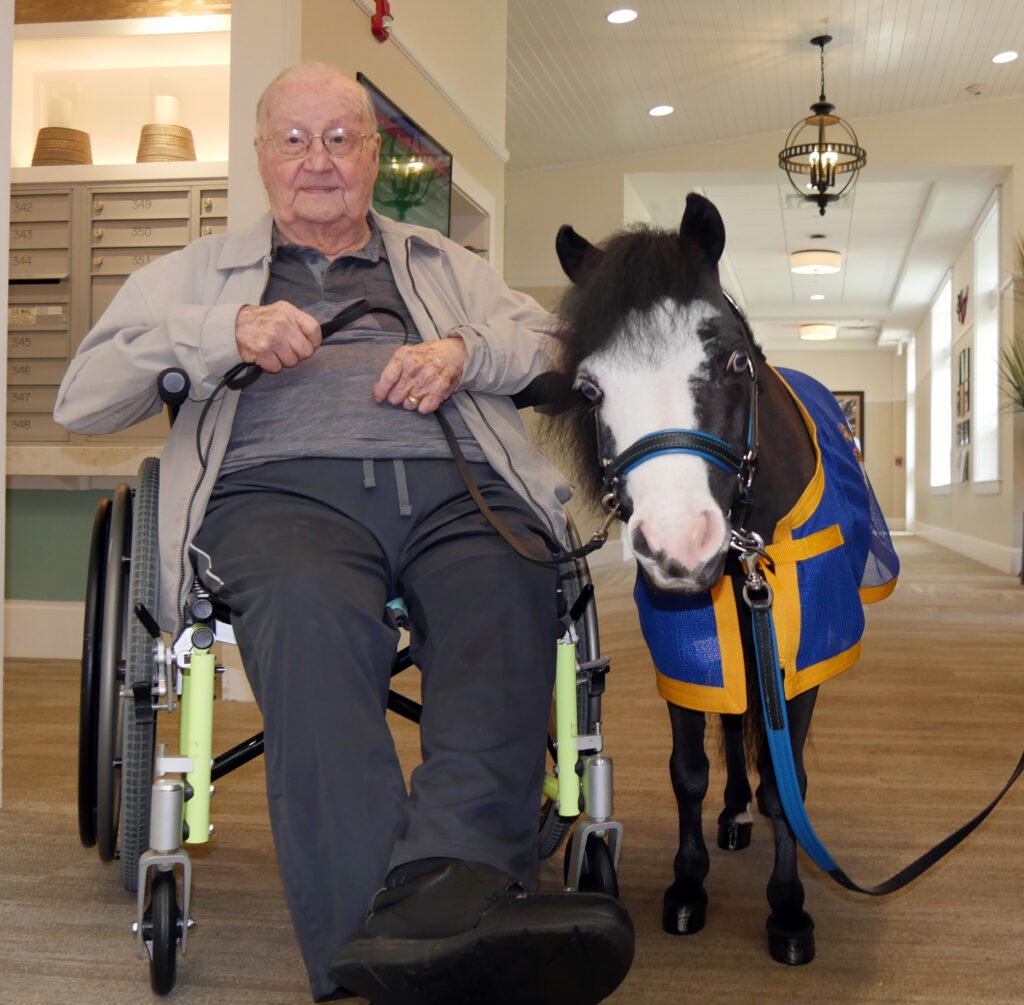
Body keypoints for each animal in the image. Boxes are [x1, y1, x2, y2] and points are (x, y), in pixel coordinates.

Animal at [547, 192, 899, 965]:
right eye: (589, 388)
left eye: (732, 358)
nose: (680, 546)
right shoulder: (690, 647)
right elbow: (689, 770)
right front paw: (687, 885)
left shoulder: (803, 647)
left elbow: (785, 781)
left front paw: (789, 906)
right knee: (734, 731)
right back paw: (732, 813)